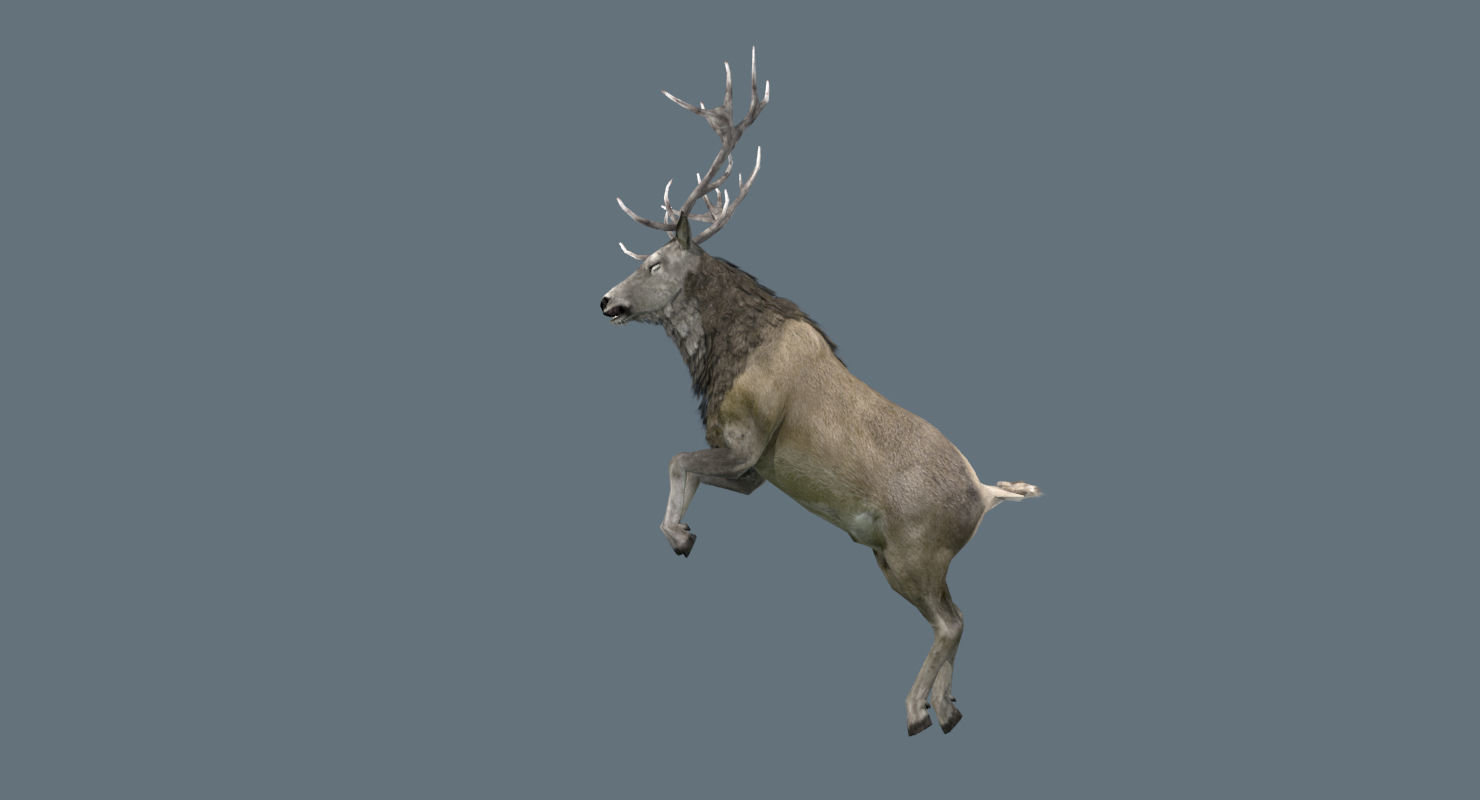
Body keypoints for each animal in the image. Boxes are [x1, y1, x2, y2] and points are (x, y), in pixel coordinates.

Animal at [599, 49, 1041, 736]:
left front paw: (679, 537)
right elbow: (686, 467)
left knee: (952, 621)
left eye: (654, 263)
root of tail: (984, 496)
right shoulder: (755, 472)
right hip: (903, 557)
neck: (721, 361)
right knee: (960, 616)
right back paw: (949, 708)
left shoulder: (748, 442)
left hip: (913, 553)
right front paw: (685, 531)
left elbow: (675, 459)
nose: (605, 301)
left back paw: (916, 710)